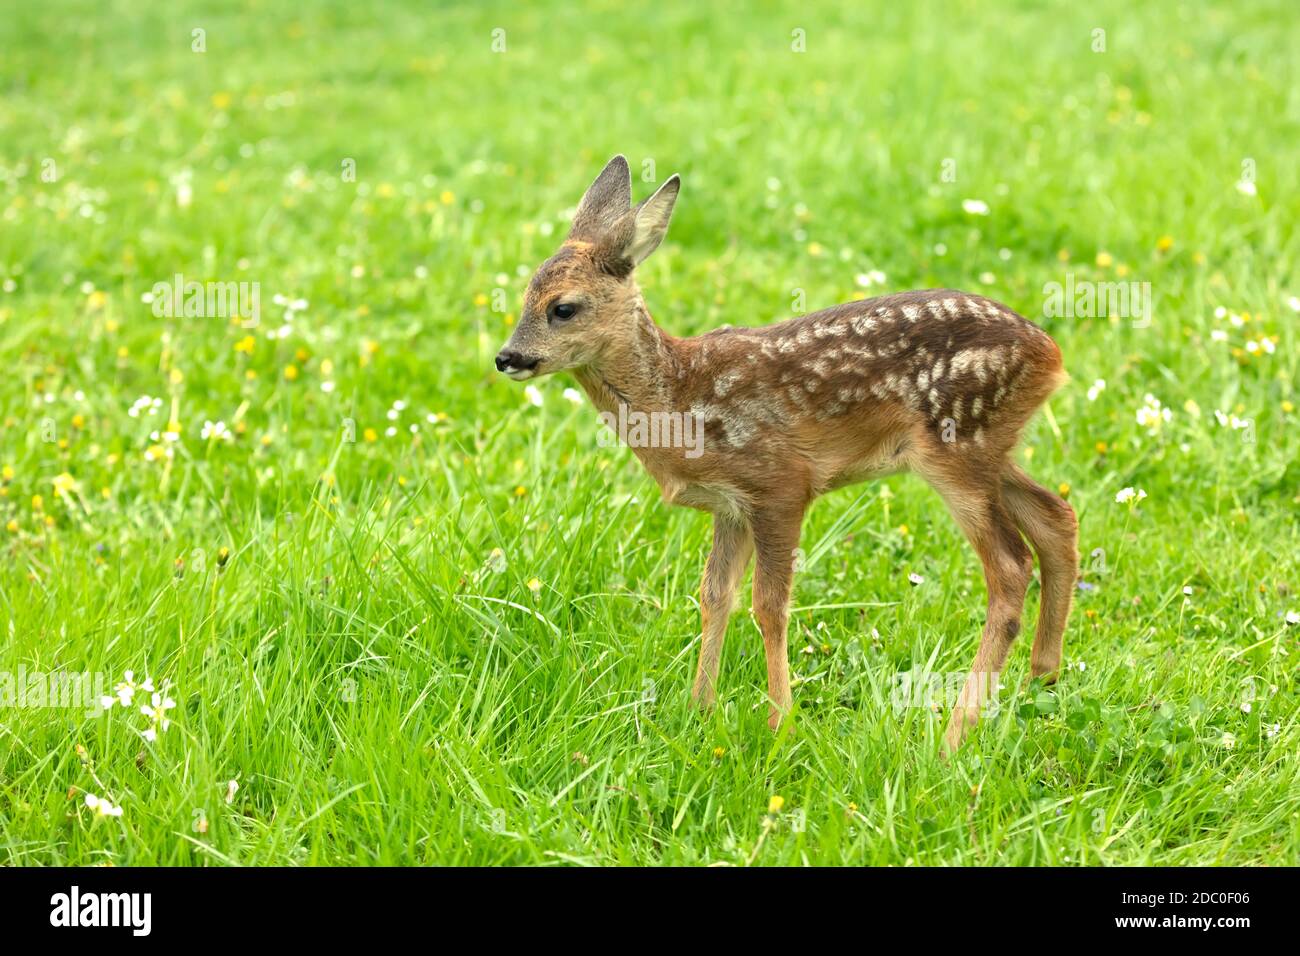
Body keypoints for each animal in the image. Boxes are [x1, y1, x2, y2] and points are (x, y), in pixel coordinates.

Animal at [495, 155, 1079, 753]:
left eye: (563, 308)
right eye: (524, 295)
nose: (507, 357)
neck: (679, 401)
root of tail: (1052, 355)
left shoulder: (779, 484)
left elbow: (769, 605)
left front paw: (780, 723)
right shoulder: (730, 505)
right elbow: (714, 595)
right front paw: (700, 710)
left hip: (957, 445)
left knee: (1010, 566)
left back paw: (953, 736)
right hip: (990, 450)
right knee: (1056, 514)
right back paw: (1041, 678)